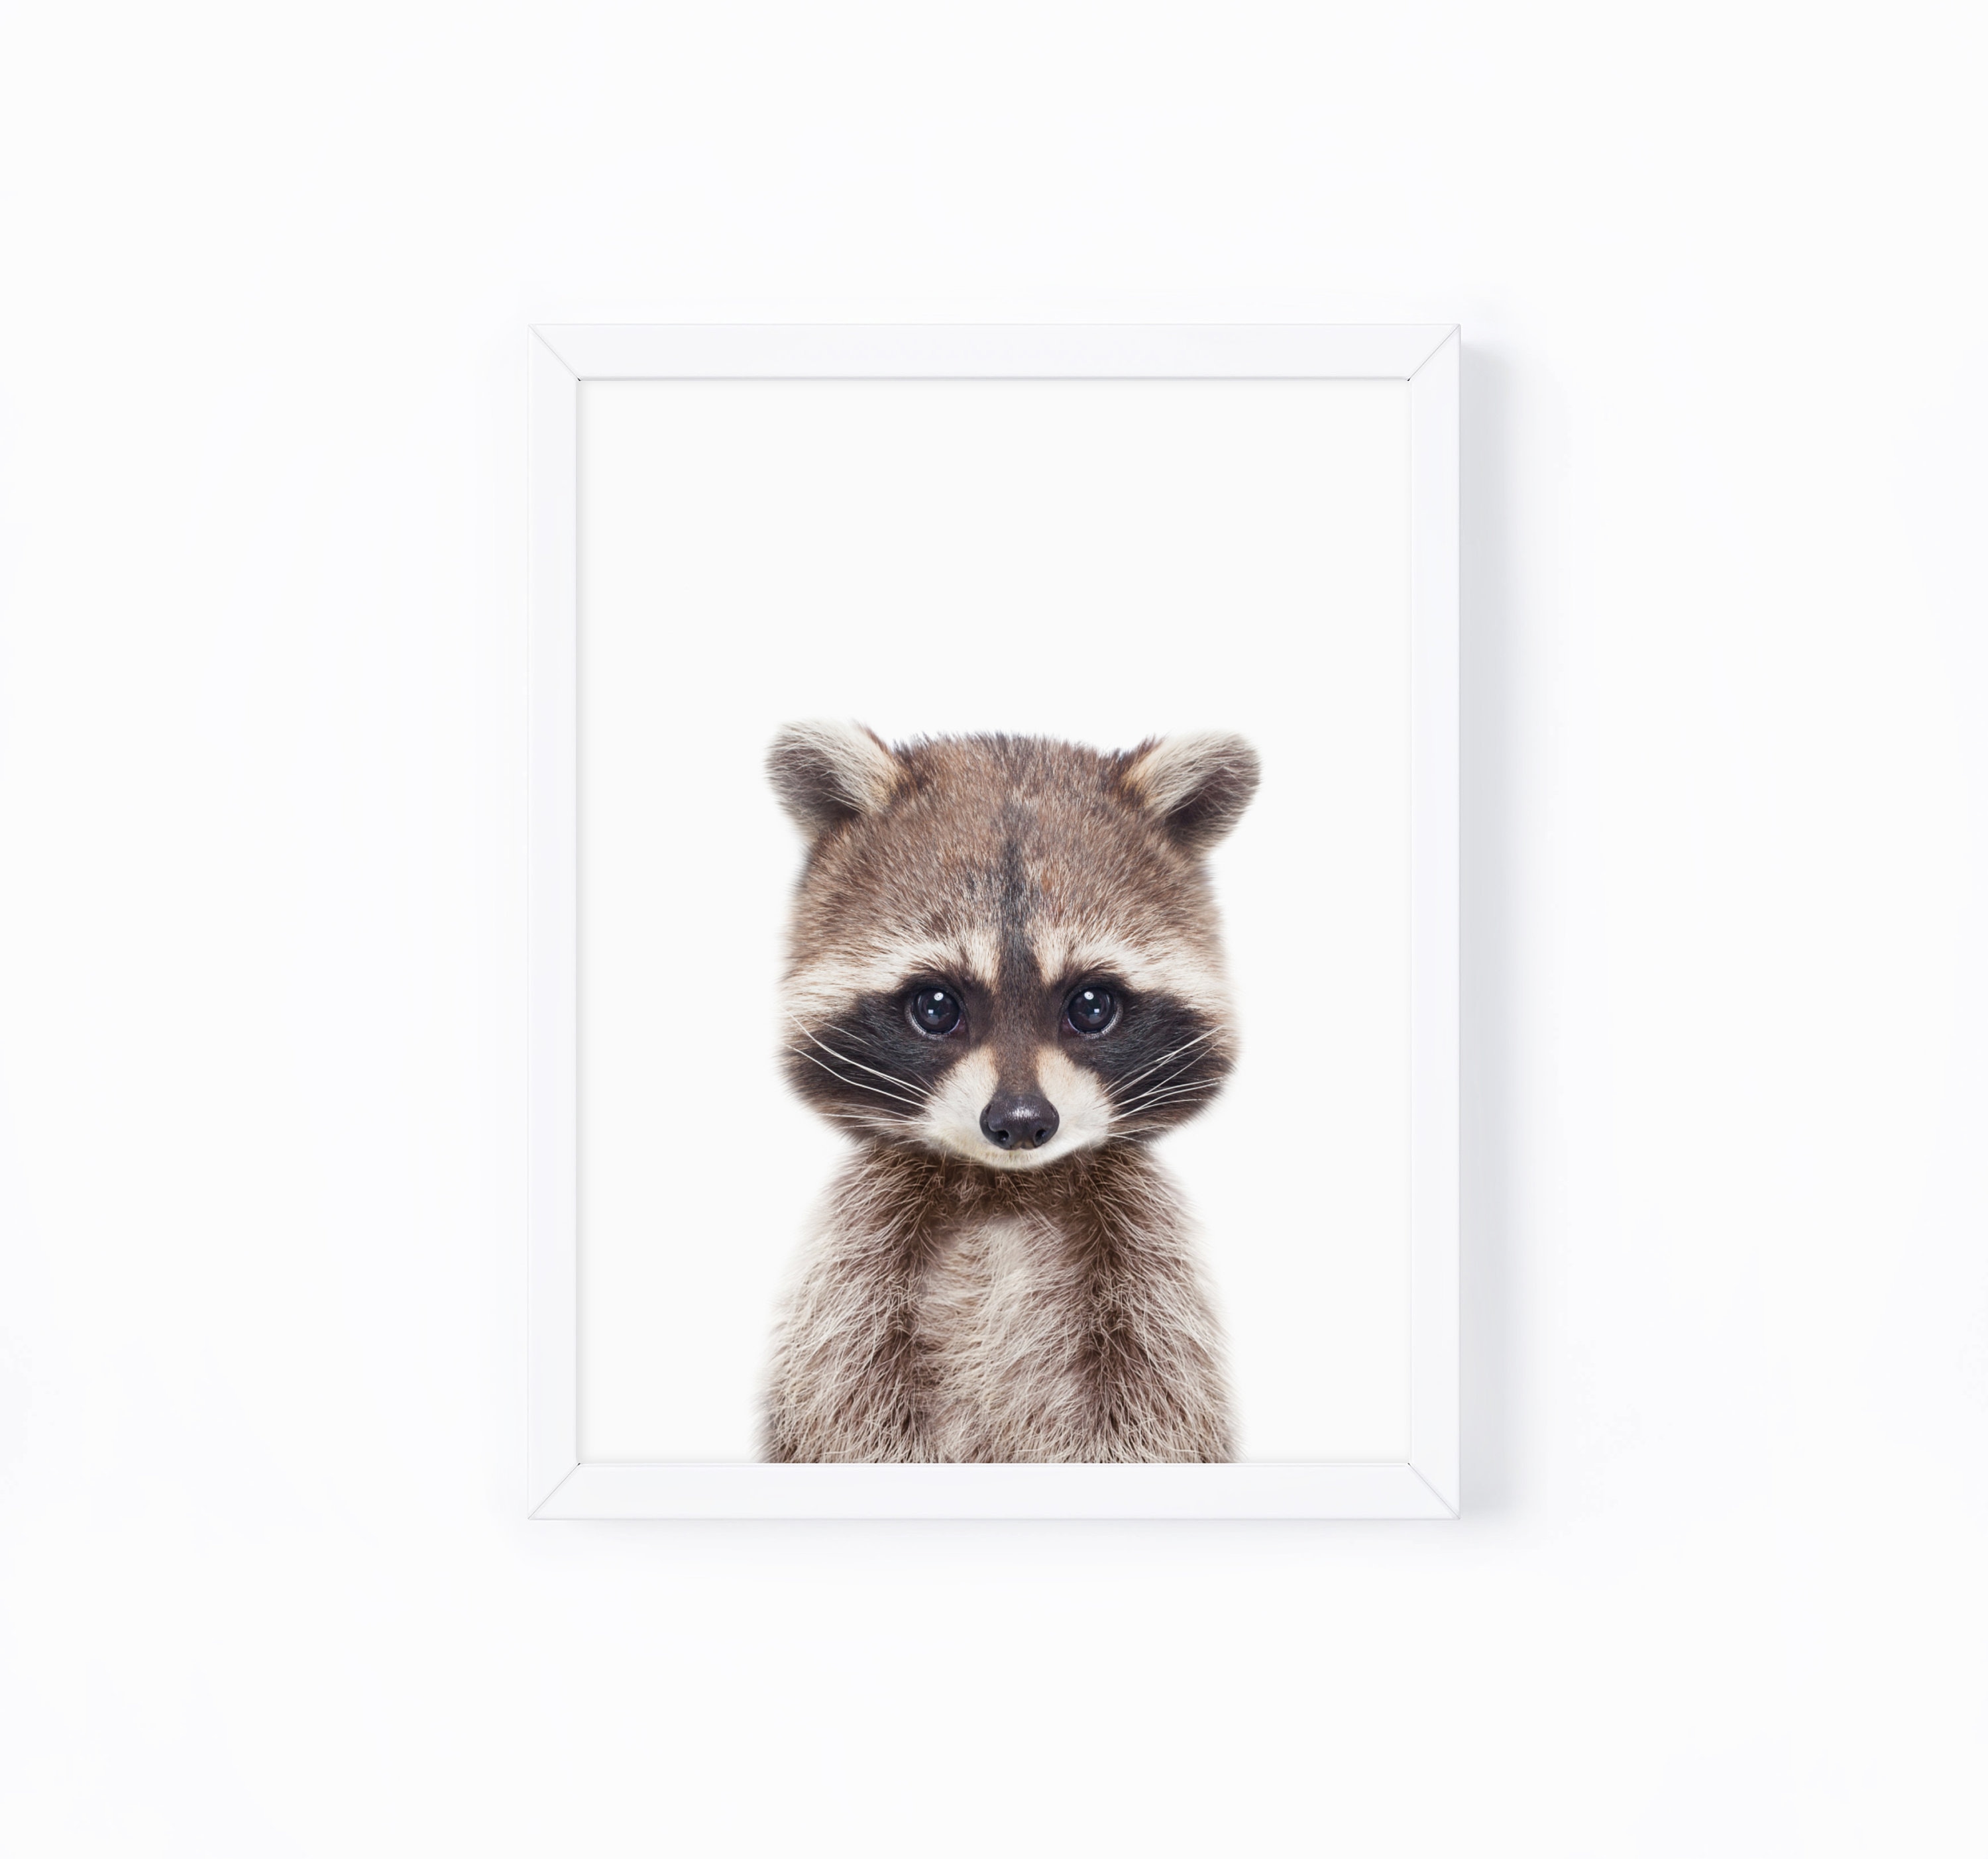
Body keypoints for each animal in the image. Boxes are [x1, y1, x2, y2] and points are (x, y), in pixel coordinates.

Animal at [761, 721, 1259, 1463]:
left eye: (1091, 1006)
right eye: (936, 1006)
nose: (1021, 1121)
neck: (1006, 1191)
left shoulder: (1143, 1269)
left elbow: (1156, 1409)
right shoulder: (858, 1266)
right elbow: (849, 1407)